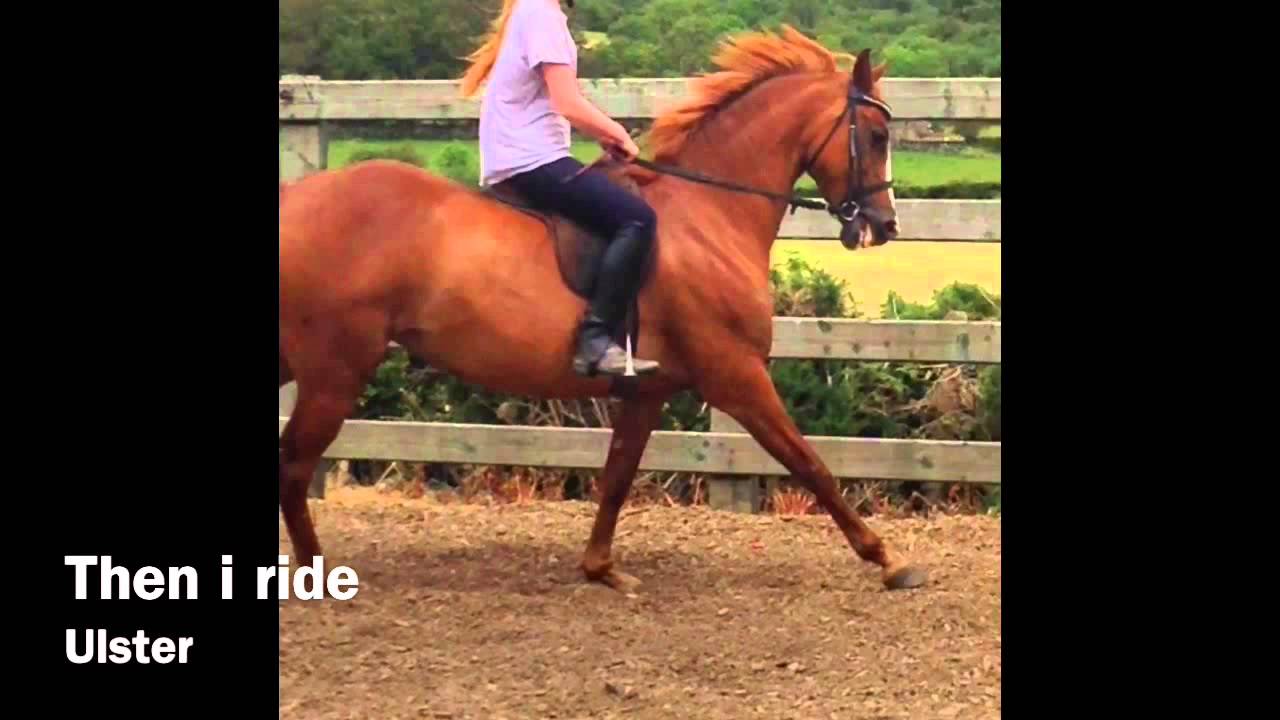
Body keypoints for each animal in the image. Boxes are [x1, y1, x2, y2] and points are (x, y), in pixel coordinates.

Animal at [279, 26, 927, 592]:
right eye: (876, 135)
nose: (885, 225)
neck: (708, 213)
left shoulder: (647, 390)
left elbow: (617, 475)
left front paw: (601, 568)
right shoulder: (737, 376)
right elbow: (810, 462)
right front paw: (889, 560)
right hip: (335, 371)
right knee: (293, 464)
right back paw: (316, 574)